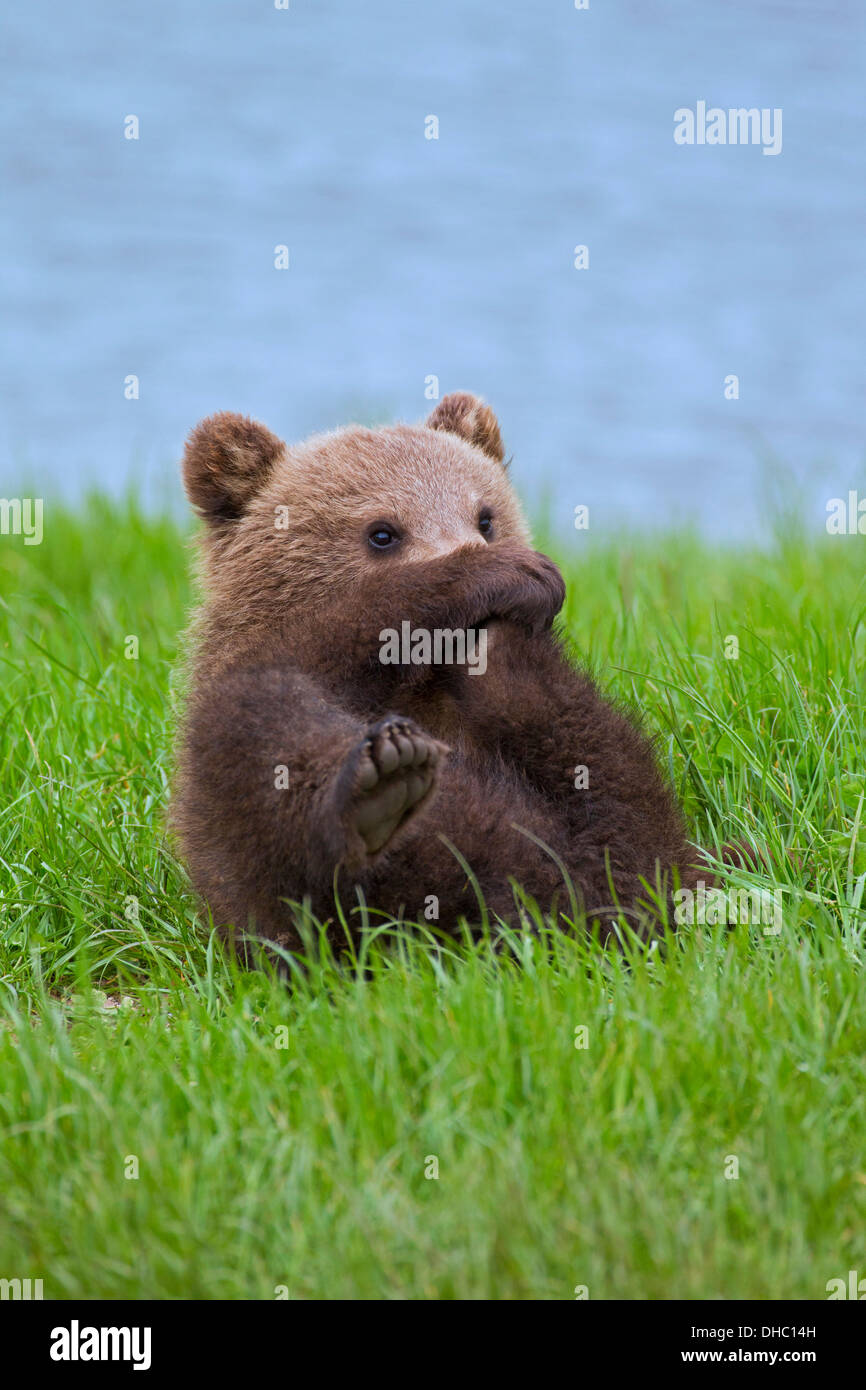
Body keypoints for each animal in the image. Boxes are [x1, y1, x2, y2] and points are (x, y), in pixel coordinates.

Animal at [172, 392, 707, 958]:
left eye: (486, 516)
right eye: (382, 532)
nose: (480, 545)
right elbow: (311, 655)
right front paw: (497, 579)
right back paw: (387, 783)